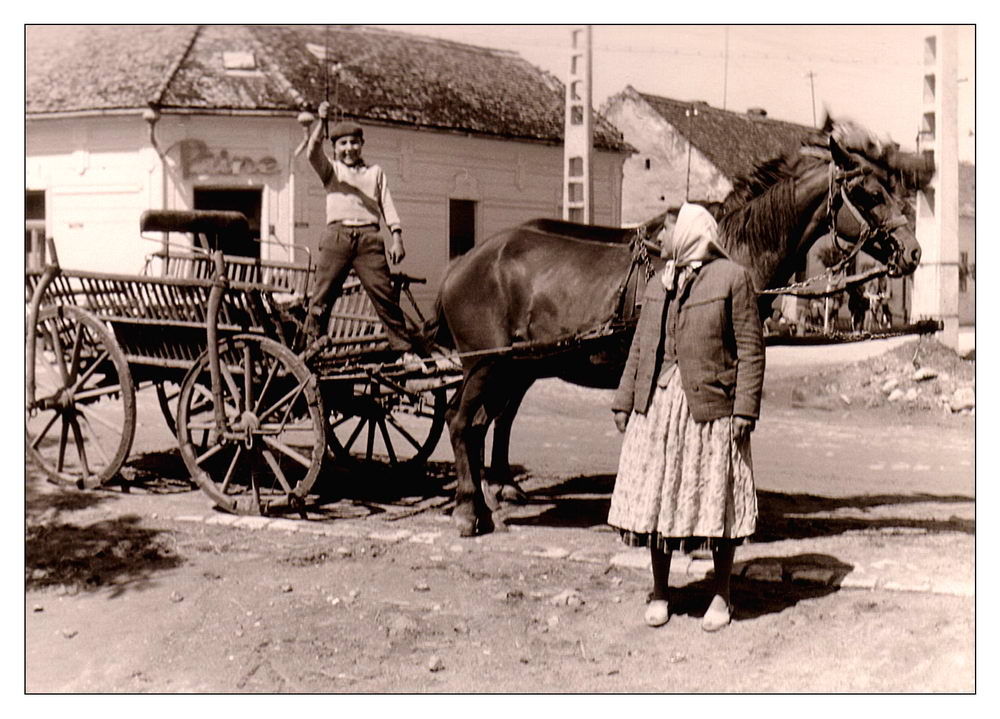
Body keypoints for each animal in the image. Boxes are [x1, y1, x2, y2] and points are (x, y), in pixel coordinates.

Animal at [436, 122, 928, 536]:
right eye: (868, 193)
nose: (914, 251)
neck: (728, 251)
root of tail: (465, 261)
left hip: (513, 366)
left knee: (484, 422)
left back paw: (490, 497)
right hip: (487, 364)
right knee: (461, 420)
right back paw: (468, 508)